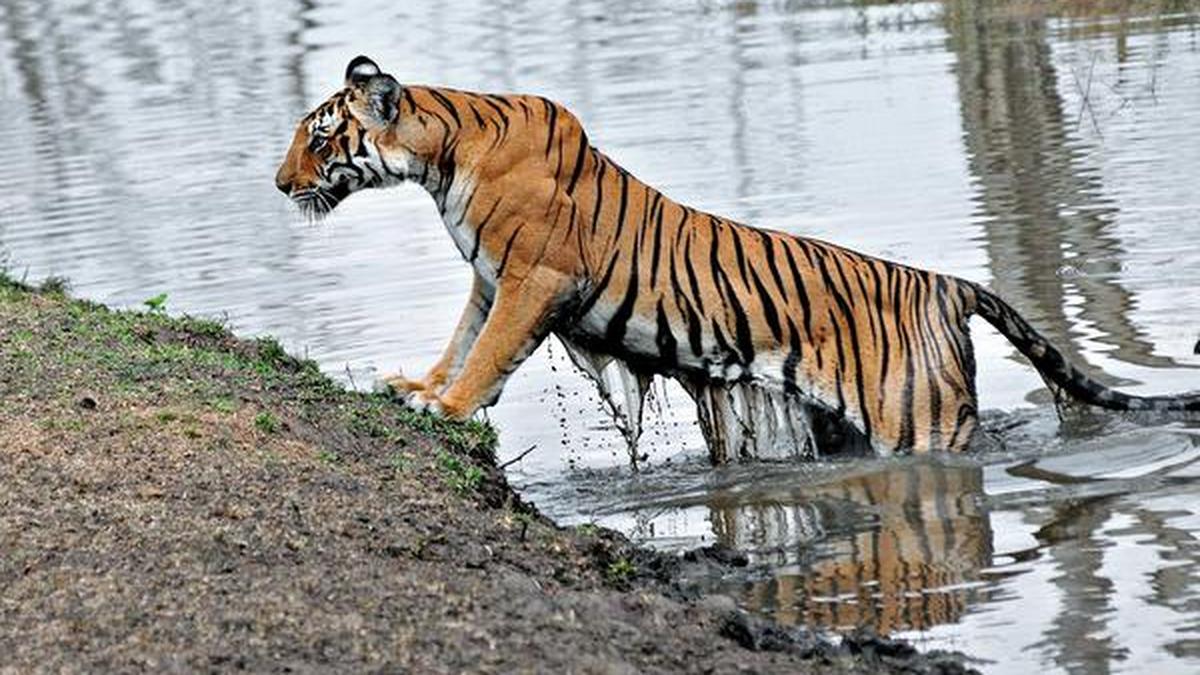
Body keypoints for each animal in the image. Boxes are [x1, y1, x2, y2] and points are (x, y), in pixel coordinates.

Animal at [274, 55, 1200, 457]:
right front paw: (420, 387)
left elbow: (490, 348)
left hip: (925, 422)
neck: (441, 156)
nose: (281, 185)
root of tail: (948, 282)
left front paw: (450, 405)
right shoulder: (486, 276)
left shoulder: (532, 276)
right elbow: (462, 339)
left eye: (319, 138)